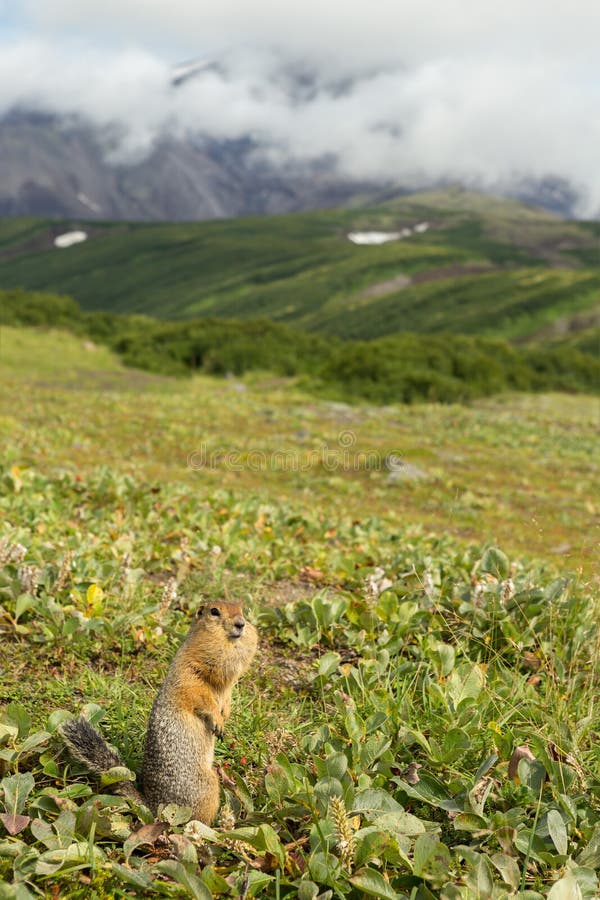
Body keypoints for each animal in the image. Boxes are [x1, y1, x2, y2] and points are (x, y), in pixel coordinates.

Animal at [61, 600, 258, 824]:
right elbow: (201, 698)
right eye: (214, 611)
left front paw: (225, 715)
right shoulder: (191, 675)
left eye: (242, 609)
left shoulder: (226, 688)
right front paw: (217, 720)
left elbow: (226, 699)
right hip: (206, 786)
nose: (241, 624)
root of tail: (153, 808)